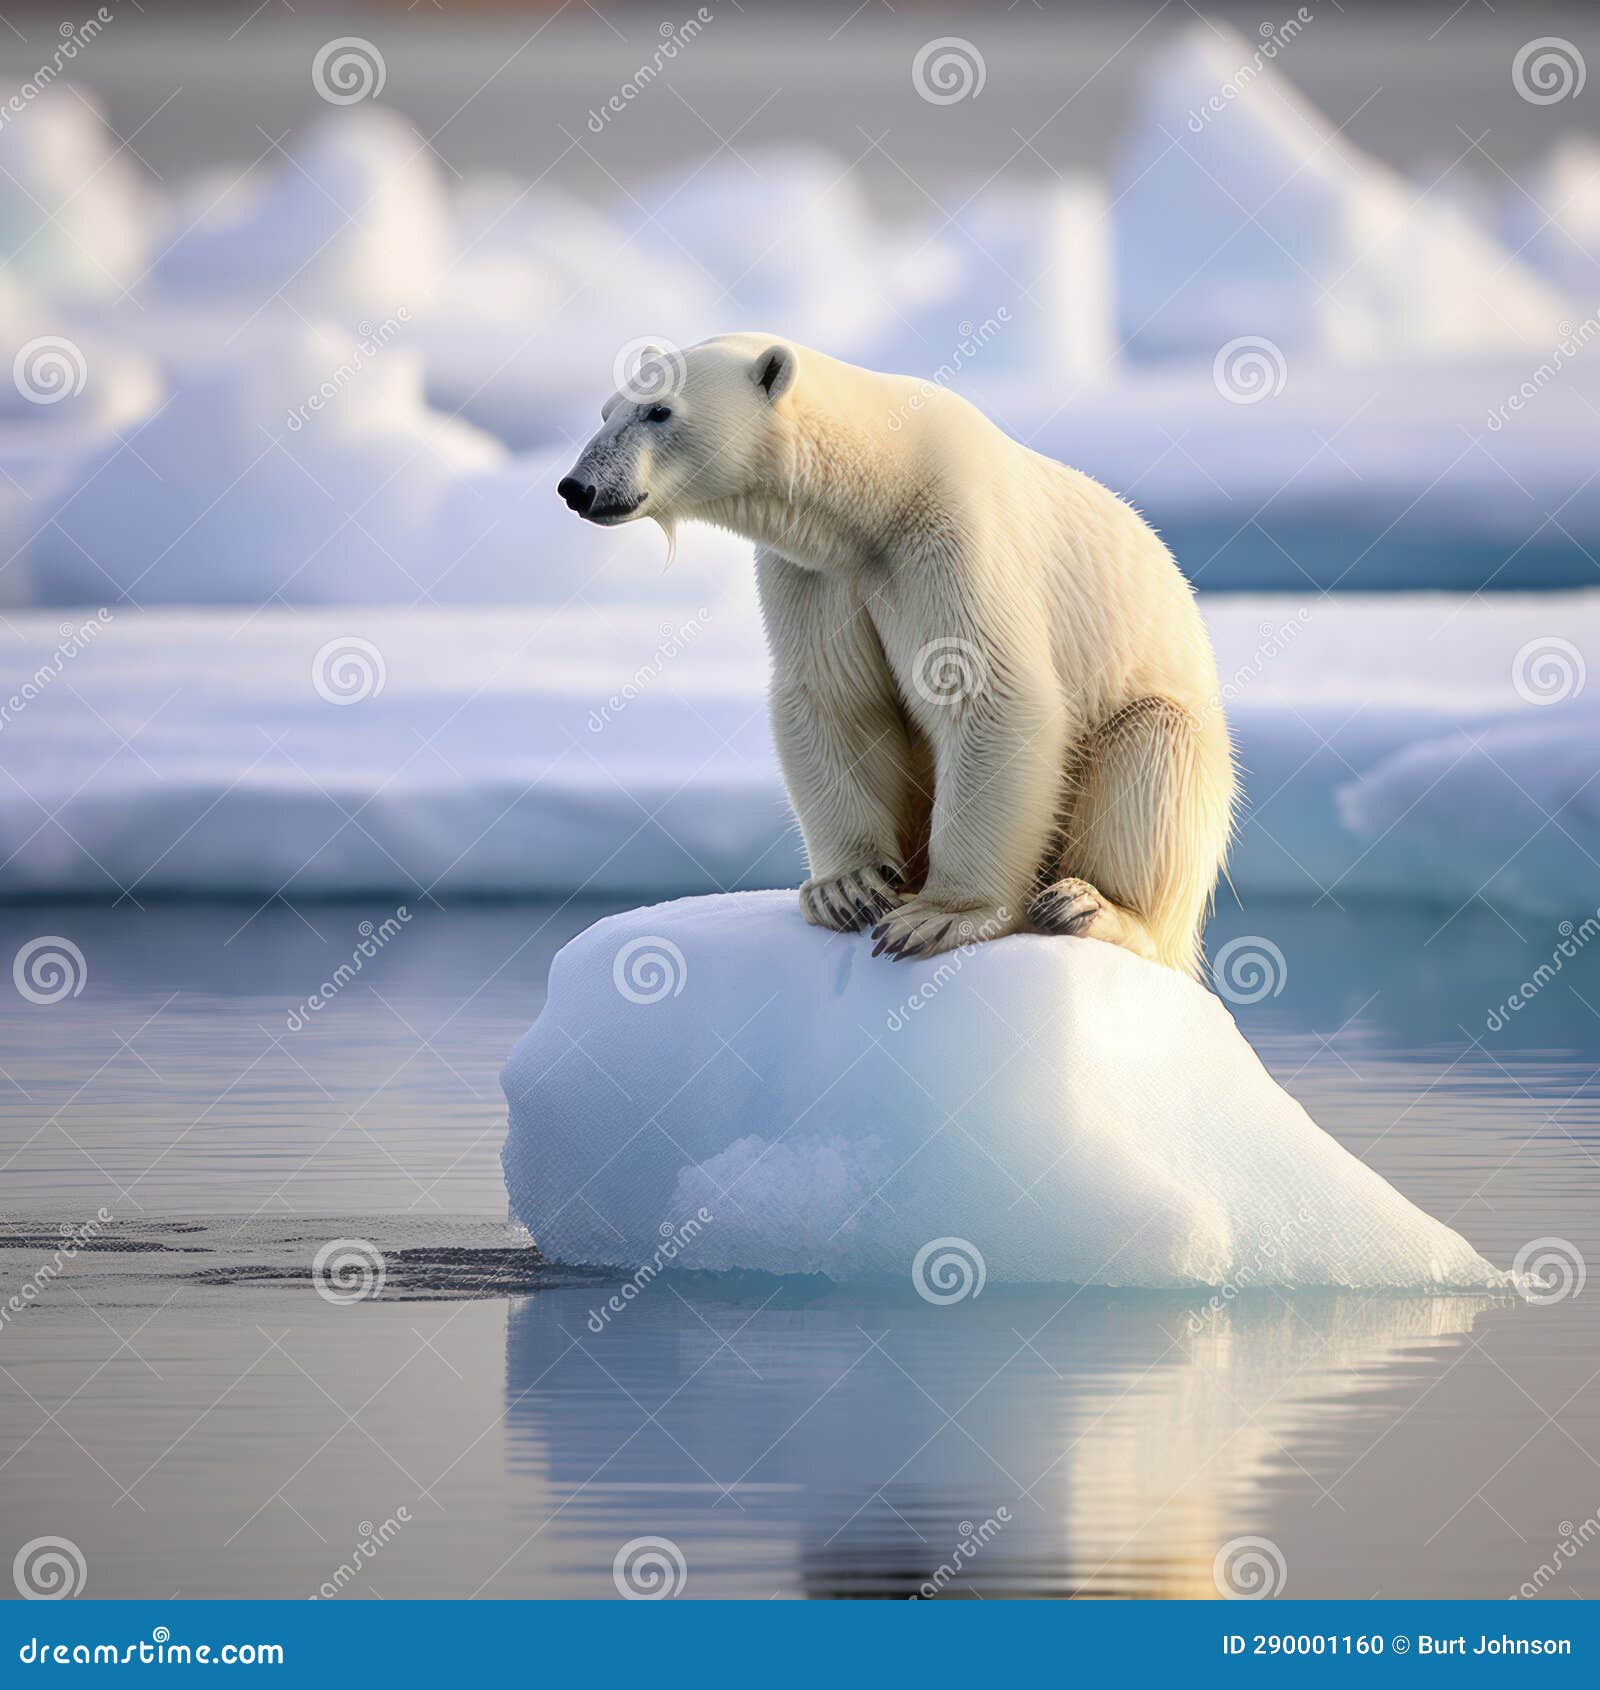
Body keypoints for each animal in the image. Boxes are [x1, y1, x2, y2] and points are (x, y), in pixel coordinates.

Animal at [558, 333, 1236, 977]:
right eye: (607, 409)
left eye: (659, 410)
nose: (576, 487)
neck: (882, 490)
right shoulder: (819, 574)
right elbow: (835, 698)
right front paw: (847, 888)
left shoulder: (956, 536)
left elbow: (987, 693)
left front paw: (940, 916)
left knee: (1156, 742)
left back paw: (1092, 905)